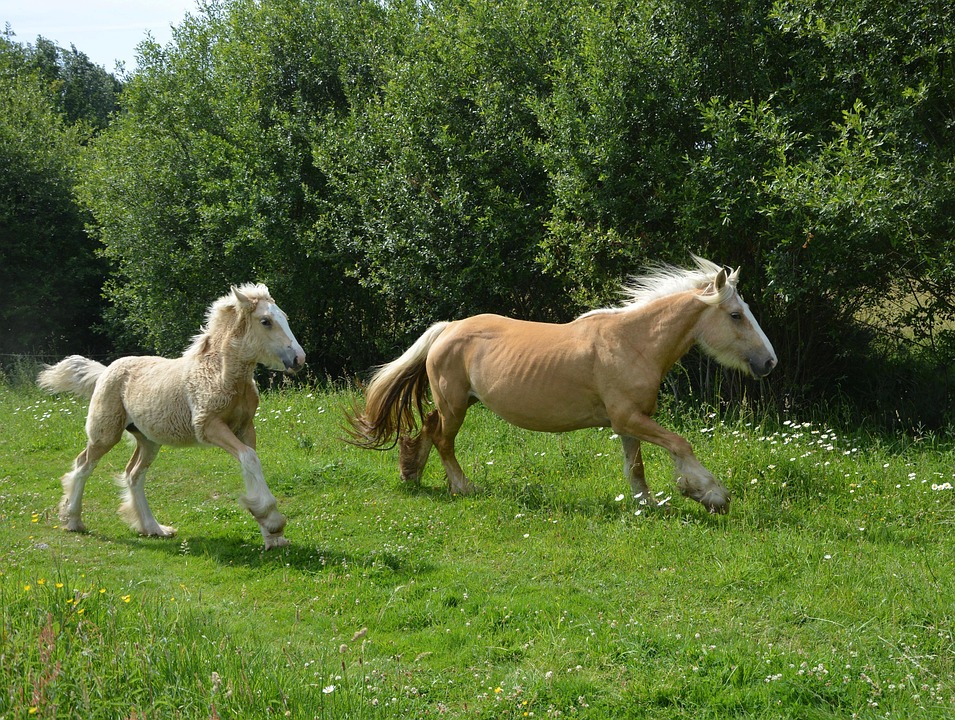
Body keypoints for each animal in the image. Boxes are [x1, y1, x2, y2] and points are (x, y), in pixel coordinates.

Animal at [37, 284, 306, 549]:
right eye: (266, 321)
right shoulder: (209, 426)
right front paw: (272, 521)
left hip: (148, 440)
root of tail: (105, 370)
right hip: (105, 433)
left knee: (133, 474)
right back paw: (73, 521)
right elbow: (249, 458)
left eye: (284, 317)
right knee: (84, 465)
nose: (299, 358)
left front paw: (272, 536)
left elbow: (250, 460)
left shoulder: (245, 427)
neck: (221, 373)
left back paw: (154, 528)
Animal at [347, 256, 777, 514]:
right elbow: (680, 444)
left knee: (427, 427)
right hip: (454, 406)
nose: (769, 362)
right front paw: (710, 494)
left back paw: (412, 473)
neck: (632, 342)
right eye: (736, 315)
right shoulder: (628, 418)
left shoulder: (629, 422)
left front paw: (648, 504)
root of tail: (448, 328)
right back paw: (463, 487)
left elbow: (636, 467)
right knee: (442, 439)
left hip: (459, 402)